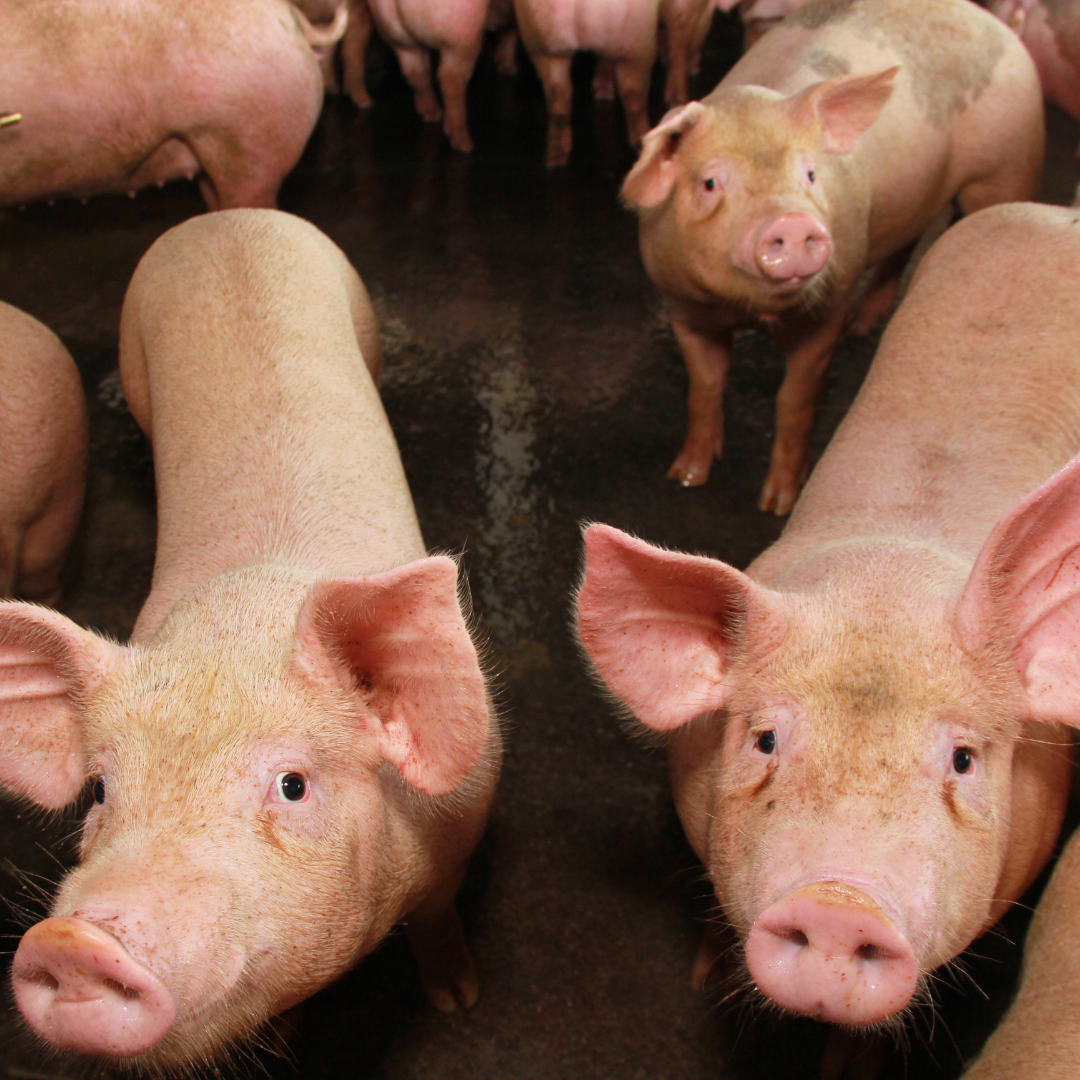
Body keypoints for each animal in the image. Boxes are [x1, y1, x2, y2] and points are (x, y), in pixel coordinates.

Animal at [367, 0, 493, 152]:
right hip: (463, 34)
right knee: (450, 78)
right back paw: (465, 144)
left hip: (398, 38)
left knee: (416, 71)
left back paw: (431, 114)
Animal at [577, 202, 1080, 1030]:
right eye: (765, 740)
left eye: (964, 760)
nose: (838, 905)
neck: (884, 576)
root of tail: (1052, 212)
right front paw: (706, 976)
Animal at [623, 0, 1042, 514]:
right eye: (710, 182)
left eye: (809, 174)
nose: (791, 222)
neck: (753, 311)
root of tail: (991, 22)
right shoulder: (685, 309)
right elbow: (704, 387)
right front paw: (686, 475)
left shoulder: (826, 310)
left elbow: (795, 400)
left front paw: (777, 505)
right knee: (903, 245)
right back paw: (863, 326)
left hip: (1009, 166)